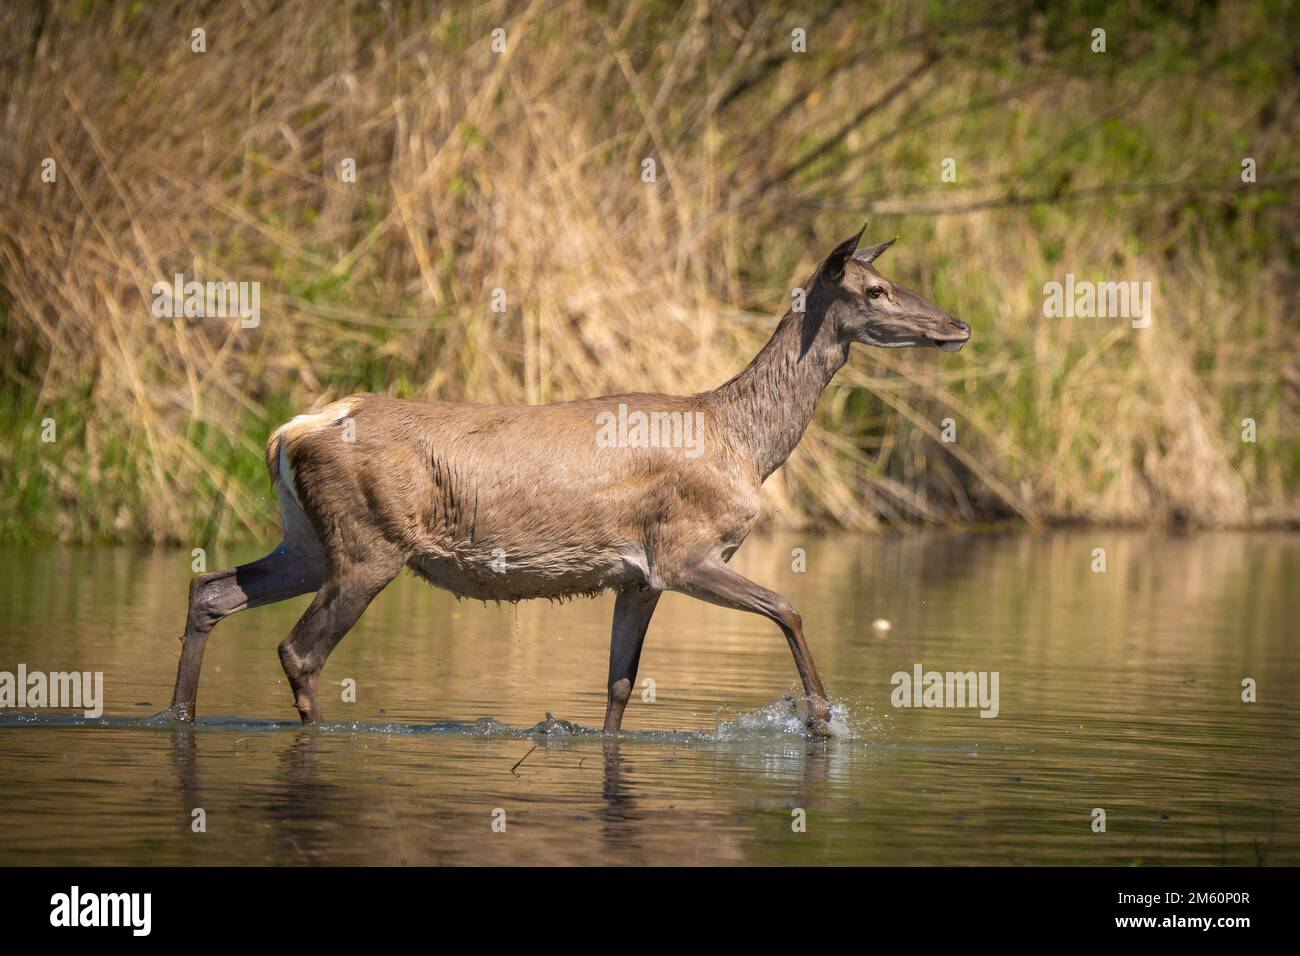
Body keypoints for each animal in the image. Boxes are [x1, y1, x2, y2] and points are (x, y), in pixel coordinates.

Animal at [163, 224, 970, 737]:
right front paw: (821, 721)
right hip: (368, 544)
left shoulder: (638, 575)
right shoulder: (686, 551)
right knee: (299, 650)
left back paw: (179, 716)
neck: (742, 441)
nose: (958, 325)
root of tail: (290, 430)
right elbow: (789, 608)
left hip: (308, 538)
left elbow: (618, 687)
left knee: (211, 589)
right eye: (875, 288)